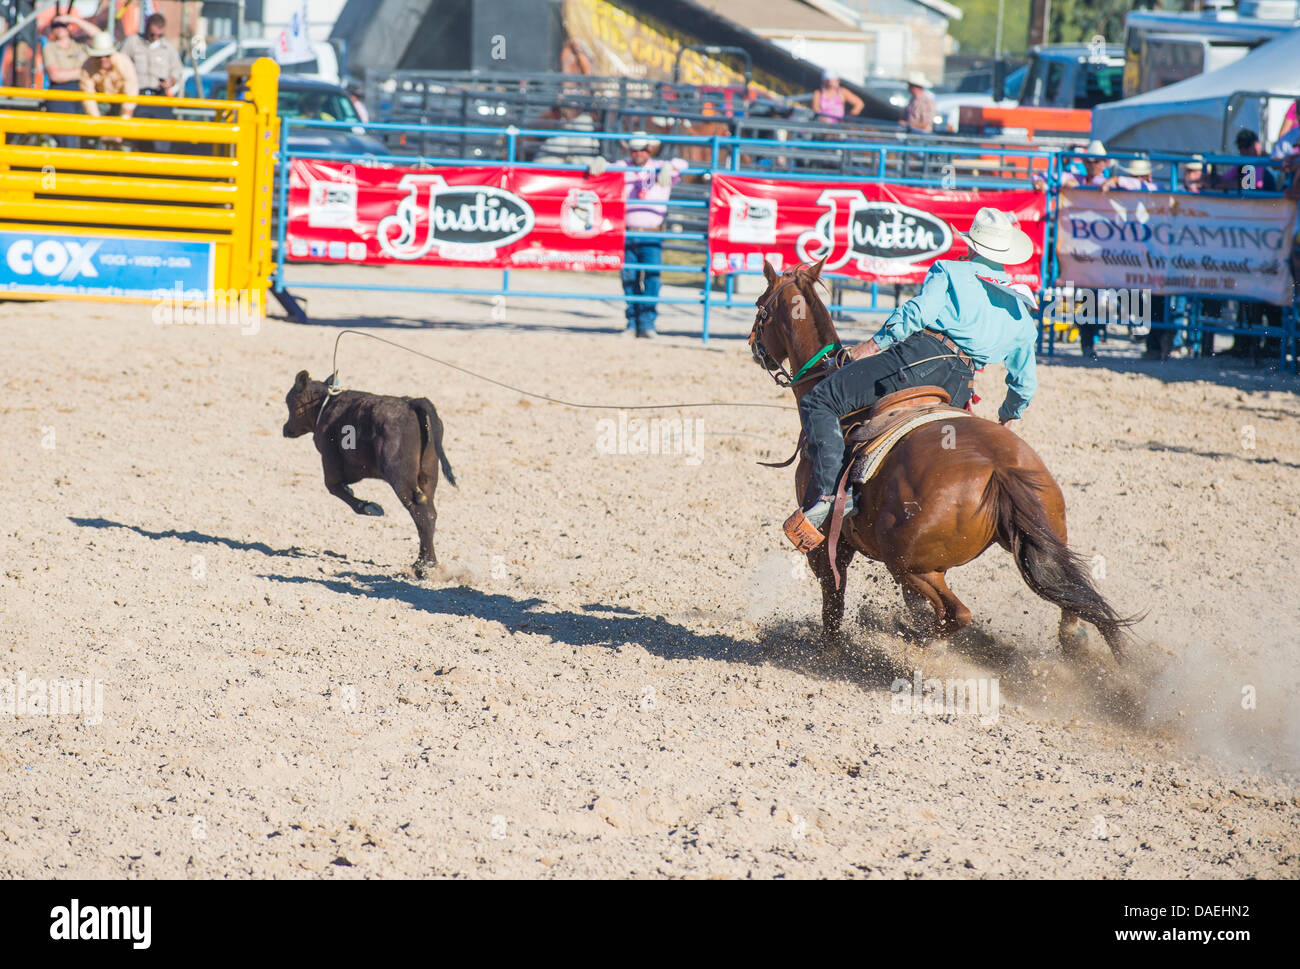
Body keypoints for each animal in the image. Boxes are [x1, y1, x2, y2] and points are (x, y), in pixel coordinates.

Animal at [282, 370, 455, 577]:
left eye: (289, 402)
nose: (285, 429)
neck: (325, 406)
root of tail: (411, 404)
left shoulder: (330, 461)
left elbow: (333, 487)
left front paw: (369, 507)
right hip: (428, 475)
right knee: (430, 512)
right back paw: (426, 562)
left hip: (401, 479)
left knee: (420, 511)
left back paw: (423, 566)